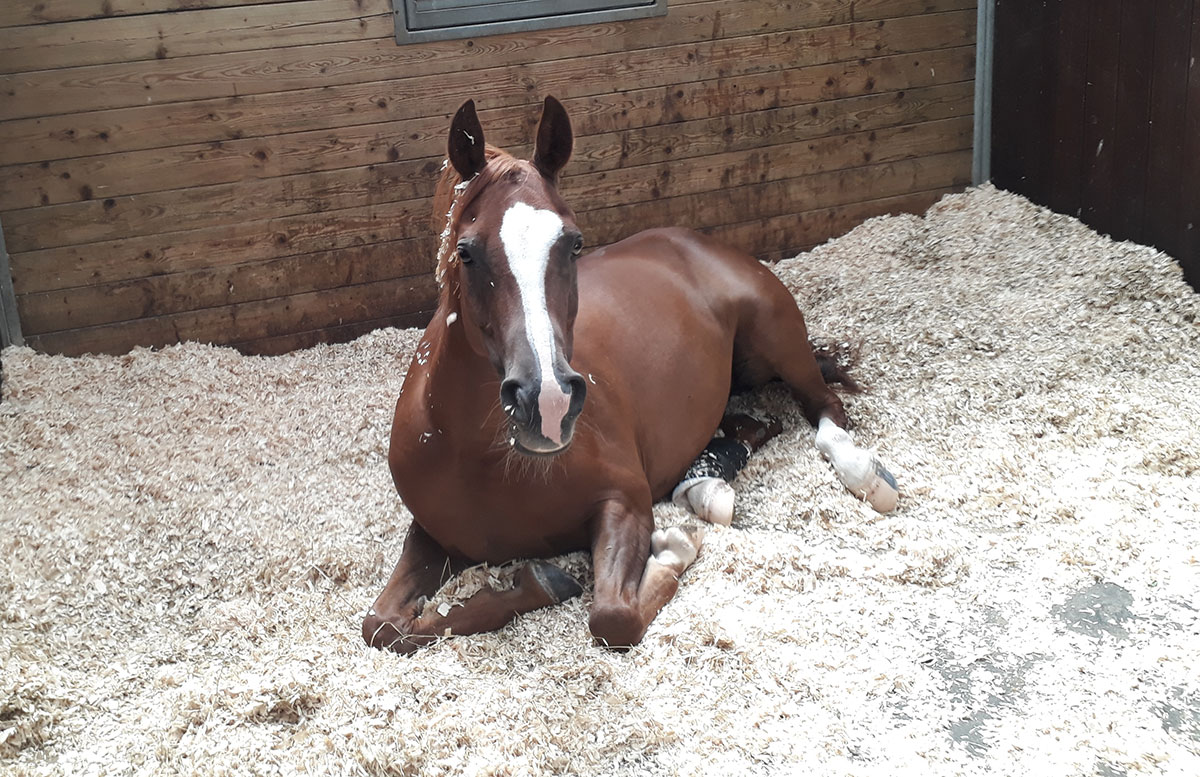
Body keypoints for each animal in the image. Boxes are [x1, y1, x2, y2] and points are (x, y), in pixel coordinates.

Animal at [362, 97, 899, 653]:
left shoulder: (624, 502)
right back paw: (707, 487)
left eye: (574, 243)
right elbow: (383, 626)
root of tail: (692, 240)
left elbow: (613, 618)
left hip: (777, 337)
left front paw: (672, 549)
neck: (483, 459)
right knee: (751, 425)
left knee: (825, 410)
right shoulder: (431, 535)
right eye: (465, 251)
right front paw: (543, 581)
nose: (547, 404)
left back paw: (864, 474)